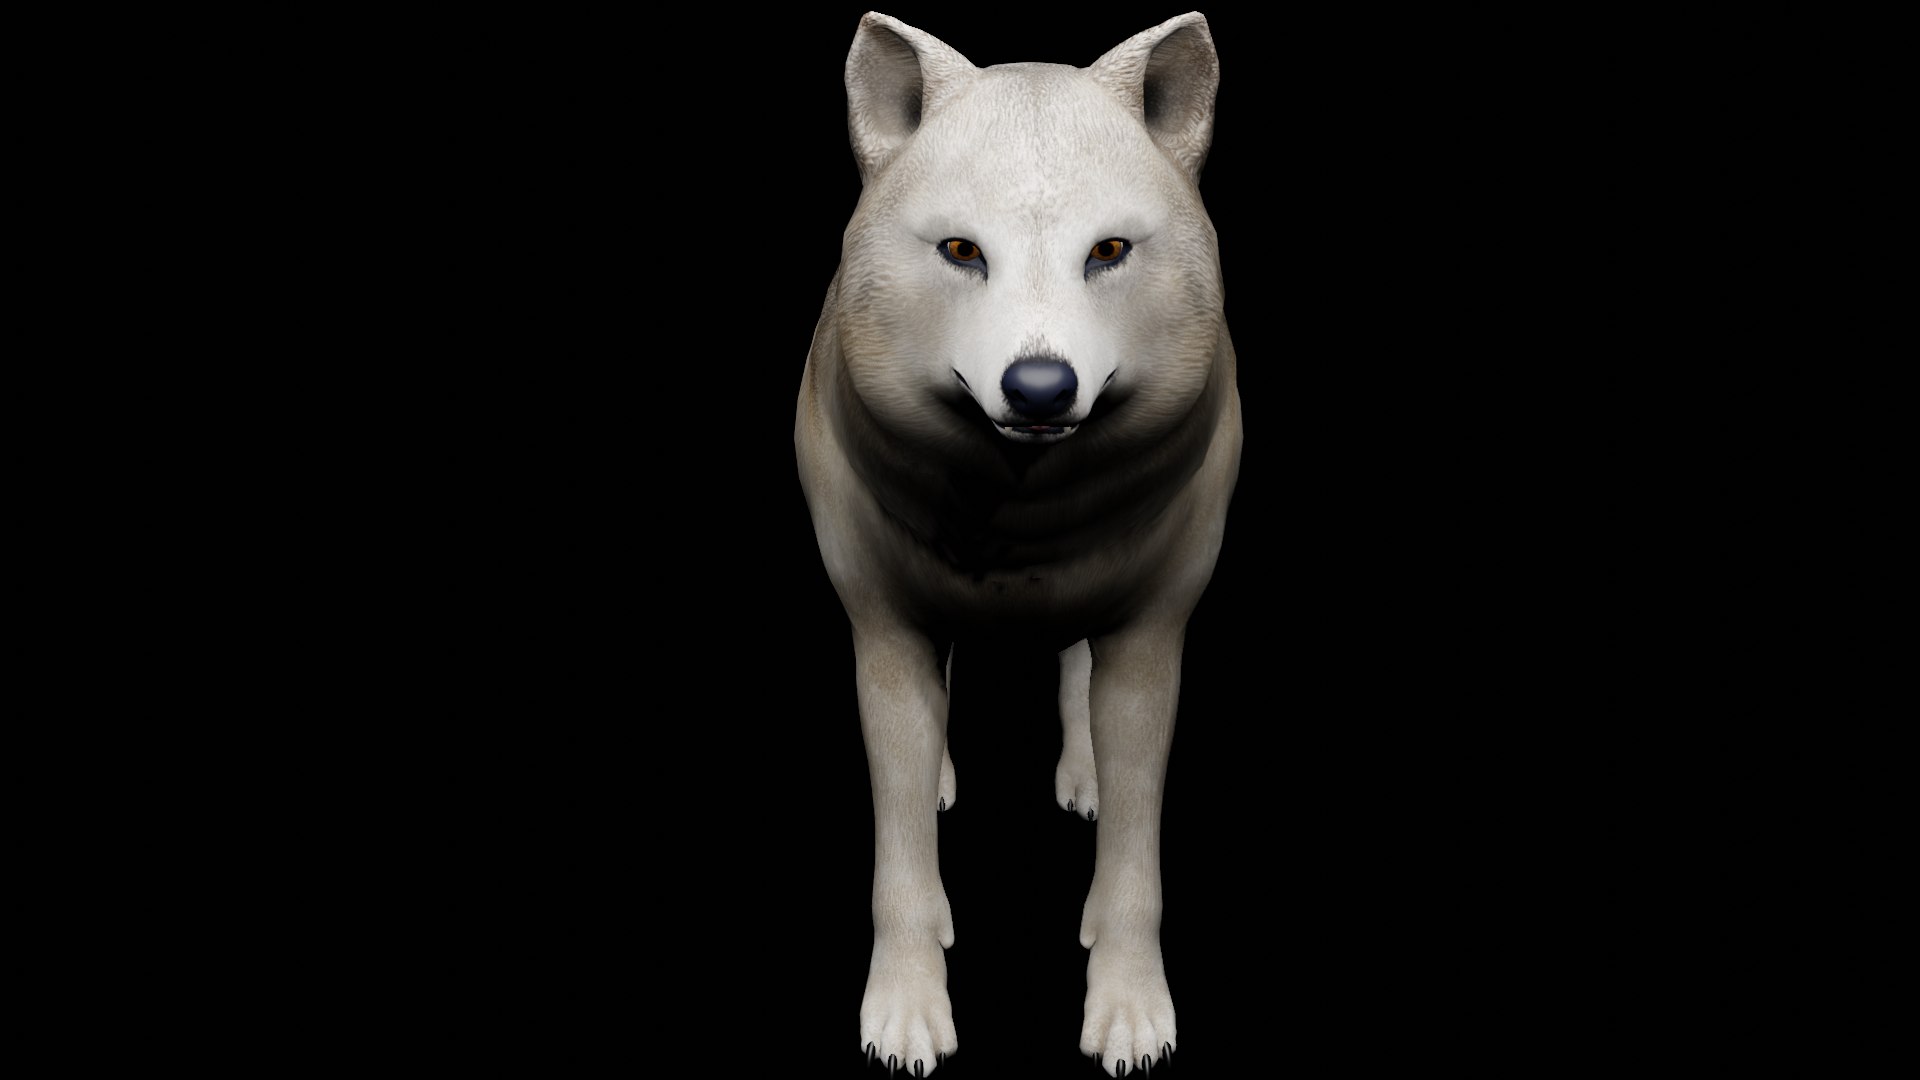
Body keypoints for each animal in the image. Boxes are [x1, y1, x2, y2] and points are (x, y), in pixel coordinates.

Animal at [794, 12, 1240, 1077]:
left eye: (1109, 251)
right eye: (961, 250)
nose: (1040, 388)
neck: (1023, 522)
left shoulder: (1152, 638)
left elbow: (1135, 864)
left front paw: (1130, 1012)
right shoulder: (886, 633)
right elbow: (899, 864)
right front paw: (905, 1013)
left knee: (1077, 671)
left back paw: (1081, 776)